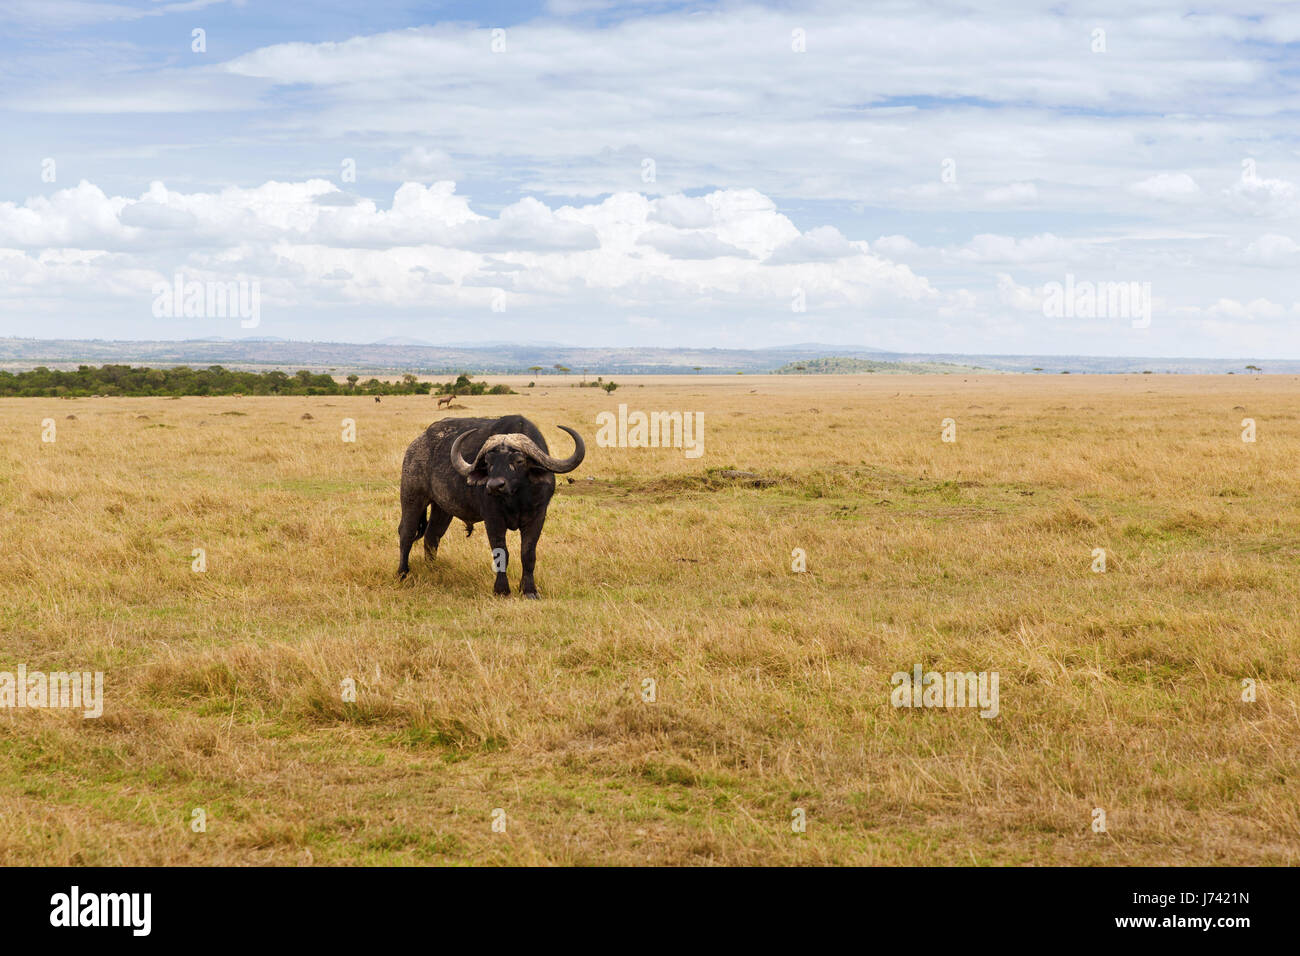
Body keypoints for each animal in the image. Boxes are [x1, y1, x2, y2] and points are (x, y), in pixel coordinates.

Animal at [397, 415, 584, 598]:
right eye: (488, 462)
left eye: (519, 460)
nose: (494, 486)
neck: (517, 499)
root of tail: (417, 444)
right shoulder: (493, 519)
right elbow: (501, 552)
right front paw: (502, 590)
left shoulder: (537, 516)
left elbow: (528, 553)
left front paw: (529, 590)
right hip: (412, 497)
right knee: (406, 533)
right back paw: (402, 573)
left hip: (442, 508)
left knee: (432, 536)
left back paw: (432, 569)